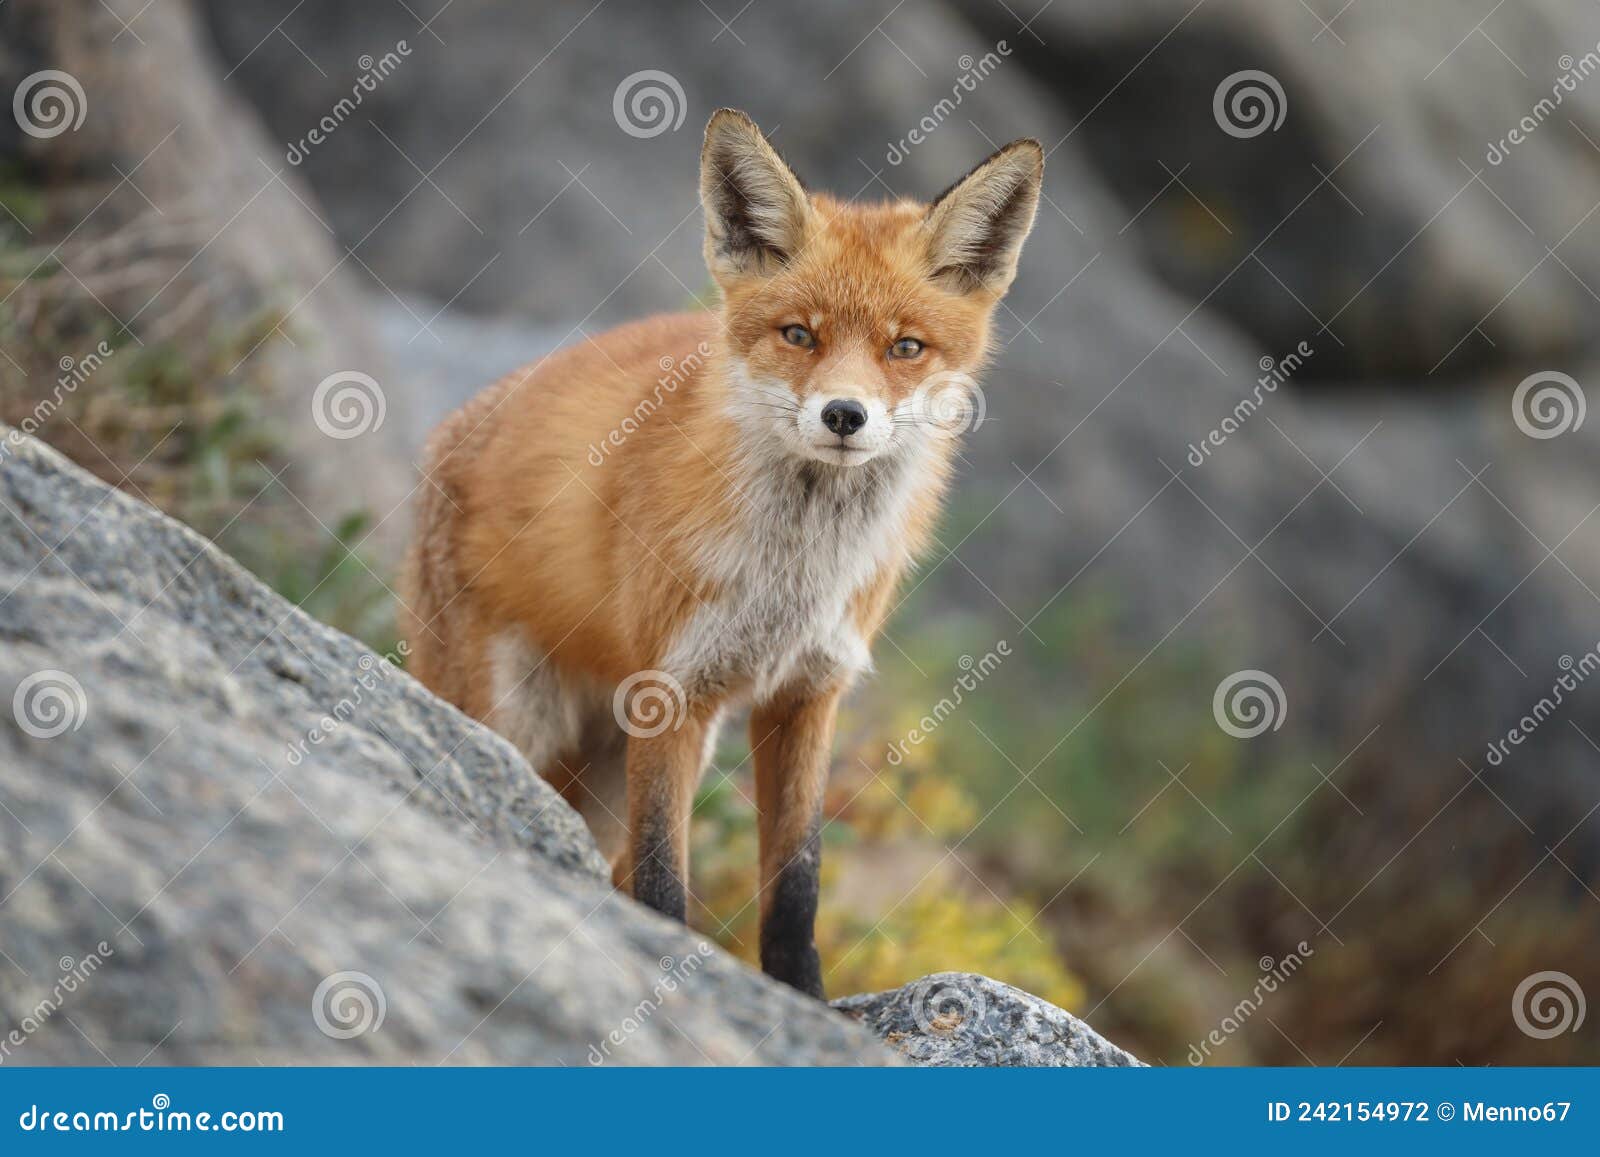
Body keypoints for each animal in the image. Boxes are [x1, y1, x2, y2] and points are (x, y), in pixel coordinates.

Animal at [401, 108, 1042, 998]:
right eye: (799, 334)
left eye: (906, 348)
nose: (845, 415)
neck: (795, 574)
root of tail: (447, 434)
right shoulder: (672, 691)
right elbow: (663, 878)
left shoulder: (808, 691)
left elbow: (797, 880)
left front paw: (803, 996)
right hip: (514, 720)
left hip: (610, 773)